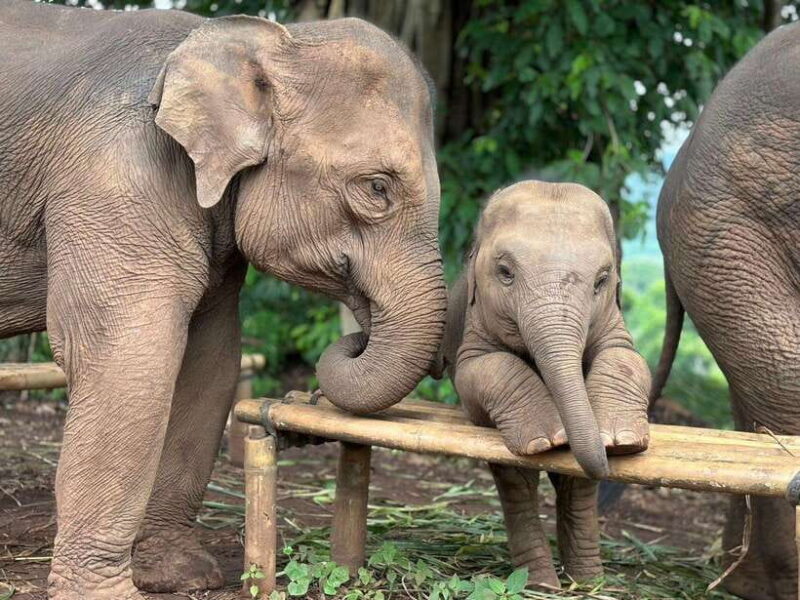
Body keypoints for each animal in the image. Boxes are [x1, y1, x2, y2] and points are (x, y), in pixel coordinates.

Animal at [0, 2, 446, 599]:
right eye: (377, 188)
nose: (355, 336)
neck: (259, 37)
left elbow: (209, 360)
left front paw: (181, 574)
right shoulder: (114, 178)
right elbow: (128, 359)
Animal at [439, 181, 650, 586]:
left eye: (603, 280)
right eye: (505, 272)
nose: (608, 453)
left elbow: (628, 358)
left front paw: (620, 441)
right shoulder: (475, 322)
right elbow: (481, 369)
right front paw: (549, 439)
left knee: (576, 483)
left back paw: (587, 580)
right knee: (517, 480)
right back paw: (541, 582)